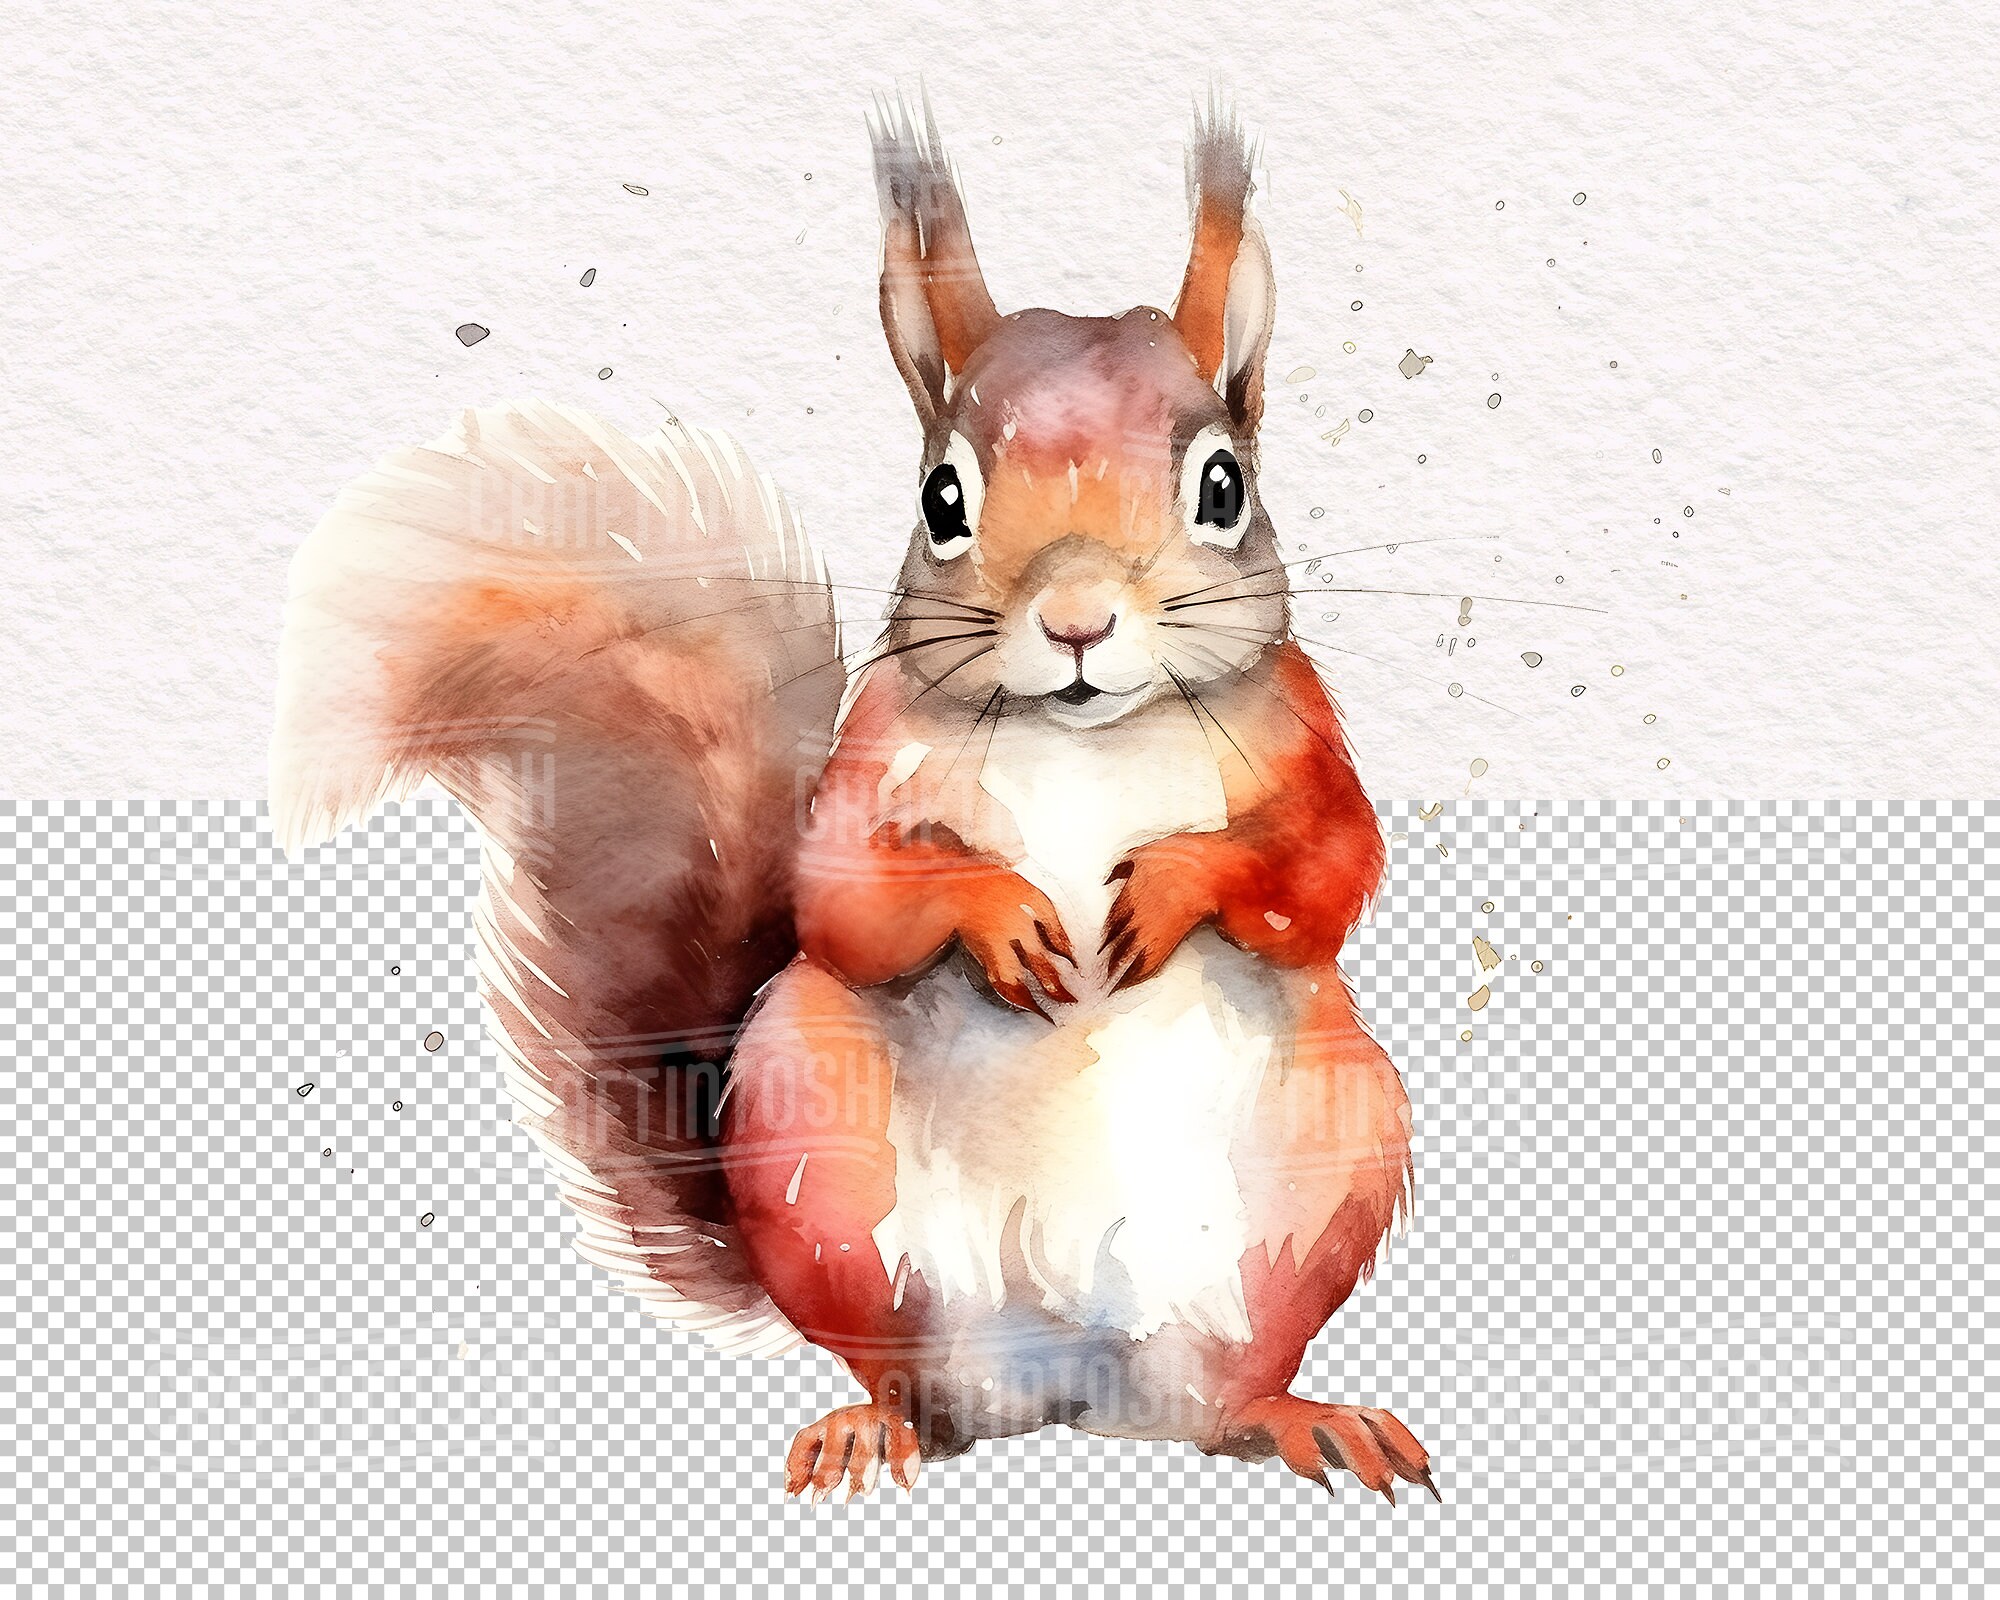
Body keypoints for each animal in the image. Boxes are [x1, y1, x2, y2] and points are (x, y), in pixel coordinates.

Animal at [272, 94, 1430, 1505]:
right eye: (940, 498)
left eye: (1223, 486)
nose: (1078, 619)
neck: (1085, 737)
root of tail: (1063, 1384)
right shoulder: (866, 765)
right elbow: (841, 894)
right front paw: (1000, 917)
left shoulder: (1305, 739)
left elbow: (1327, 867)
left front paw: (1170, 882)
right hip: (813, 1146)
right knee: (900, 1376)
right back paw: (867, 1426)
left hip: (1331, 1154)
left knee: (1220, 1398)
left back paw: (1295, 1414)